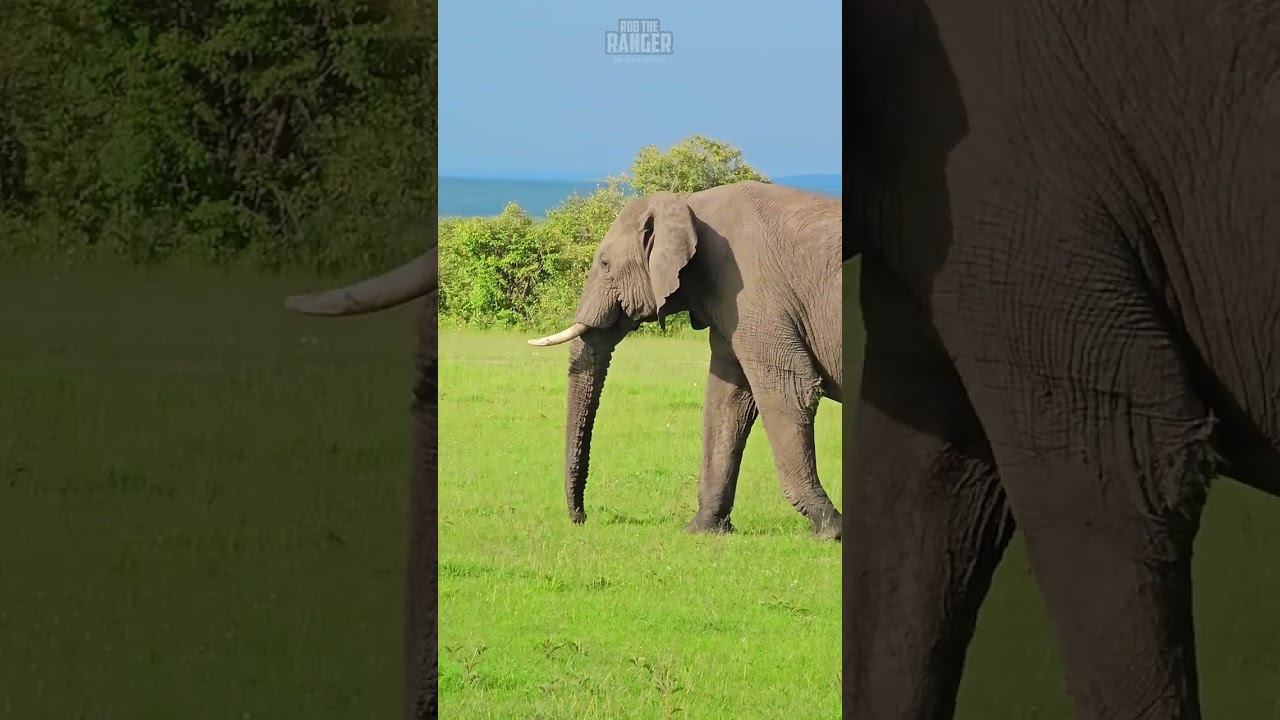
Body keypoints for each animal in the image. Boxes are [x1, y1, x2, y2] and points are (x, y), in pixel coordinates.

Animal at [527, 180, 843, 538]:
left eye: (605, 264)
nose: (581, 517)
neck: (688, 204)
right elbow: (728, 399)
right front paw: (702, 530)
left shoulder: (755, 293)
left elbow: (788, 391)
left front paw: (829, 529)